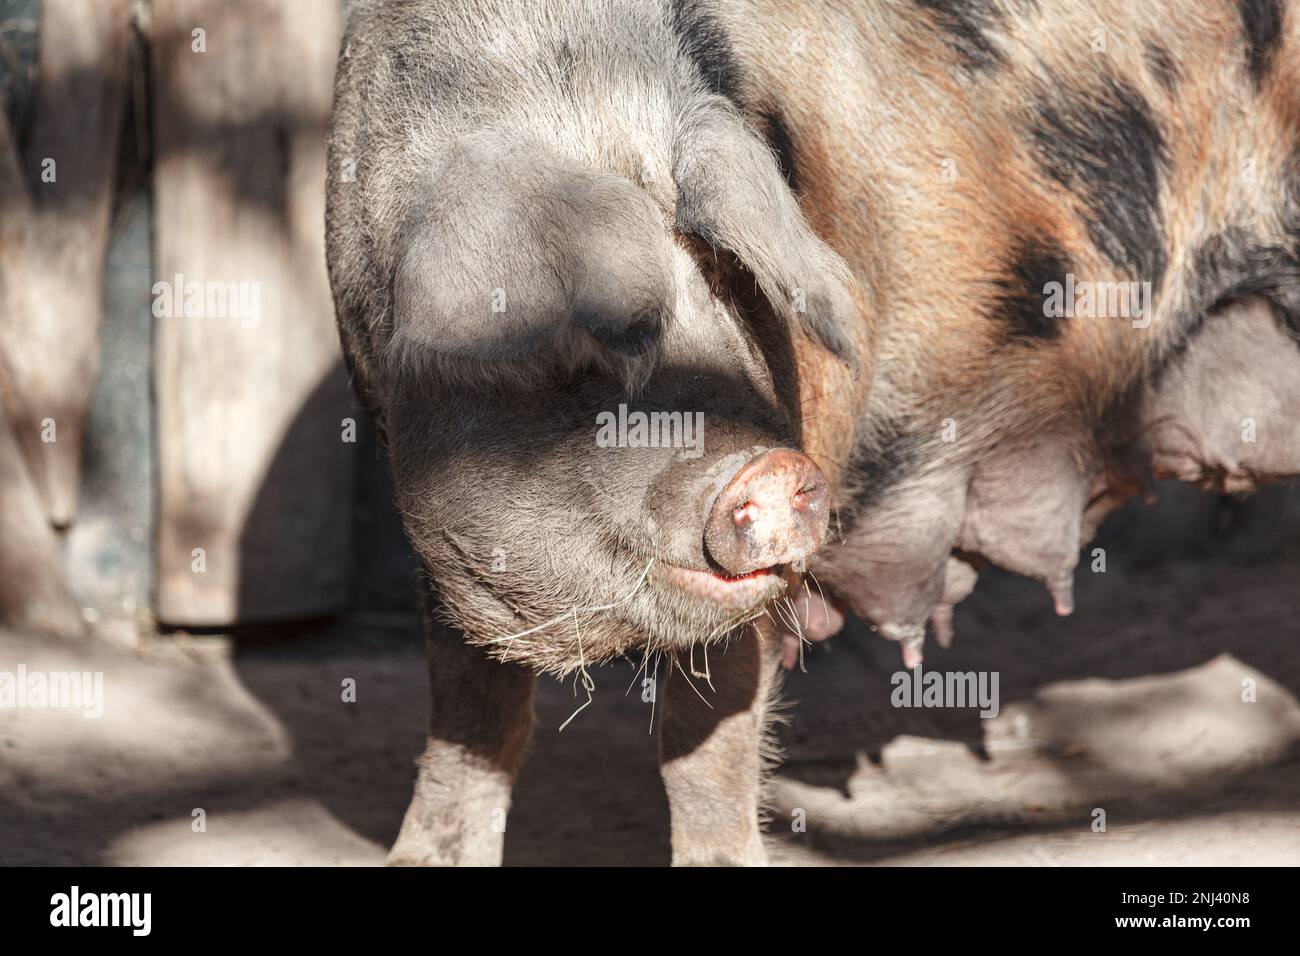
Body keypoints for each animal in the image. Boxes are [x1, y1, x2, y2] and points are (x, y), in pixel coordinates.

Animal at [327, 0, 1300, 865]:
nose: (769, 466)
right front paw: (418, 862)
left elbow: (707, 731)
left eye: (727, 285)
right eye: (583, 352)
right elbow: (470, 709)